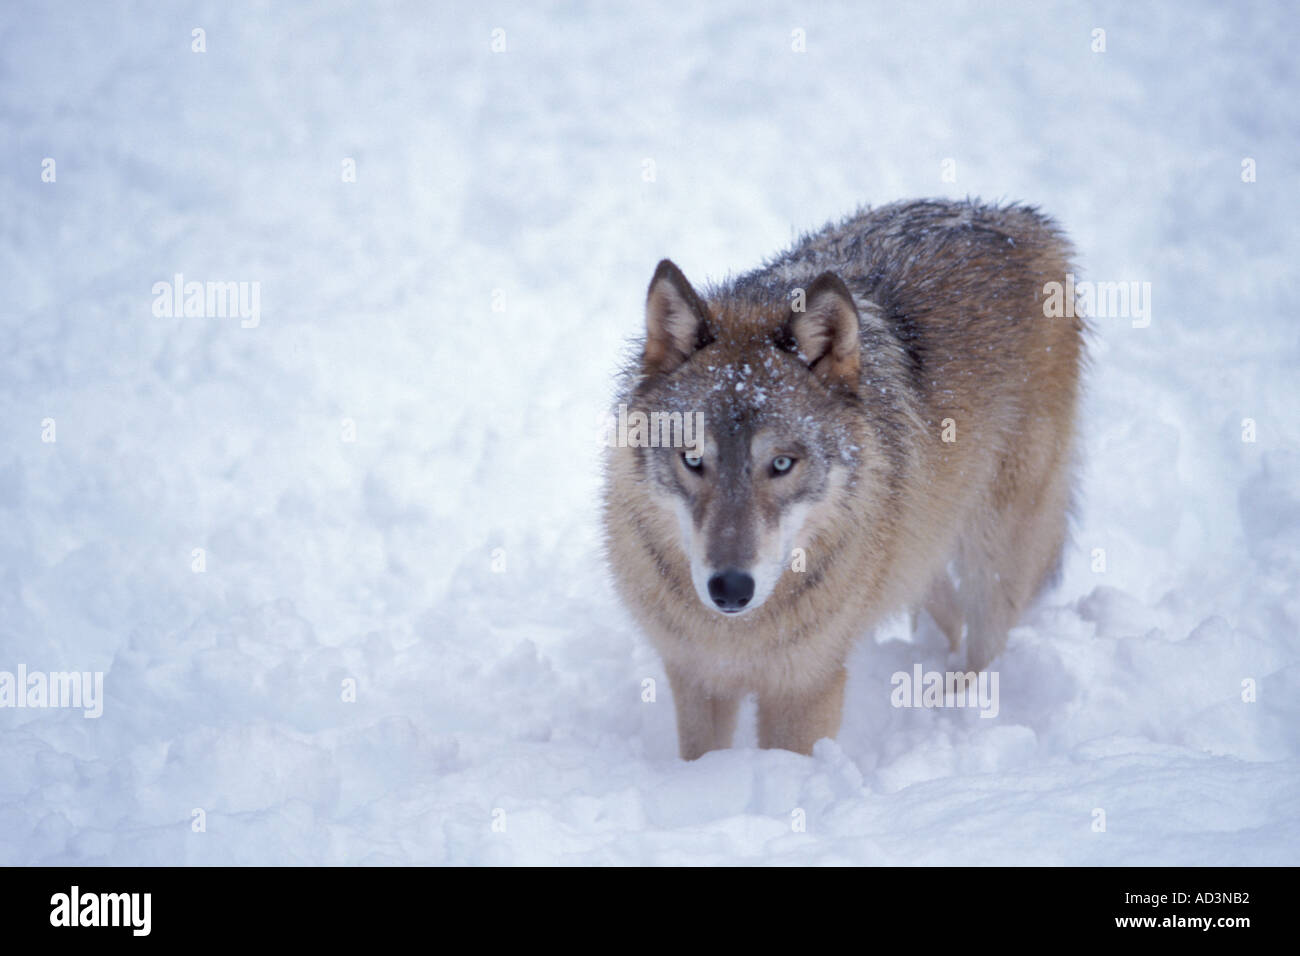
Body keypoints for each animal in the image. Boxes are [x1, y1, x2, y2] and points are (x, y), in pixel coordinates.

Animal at [603, 199, 1085, 759]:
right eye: (694, 458)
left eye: (782, 464)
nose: (730, 589)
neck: (739, 630)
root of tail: (1024, 220)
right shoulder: (697, 678)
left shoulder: (806, 688)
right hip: (921, 541)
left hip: (993, 547)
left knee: (985, 648)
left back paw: (953, 707)